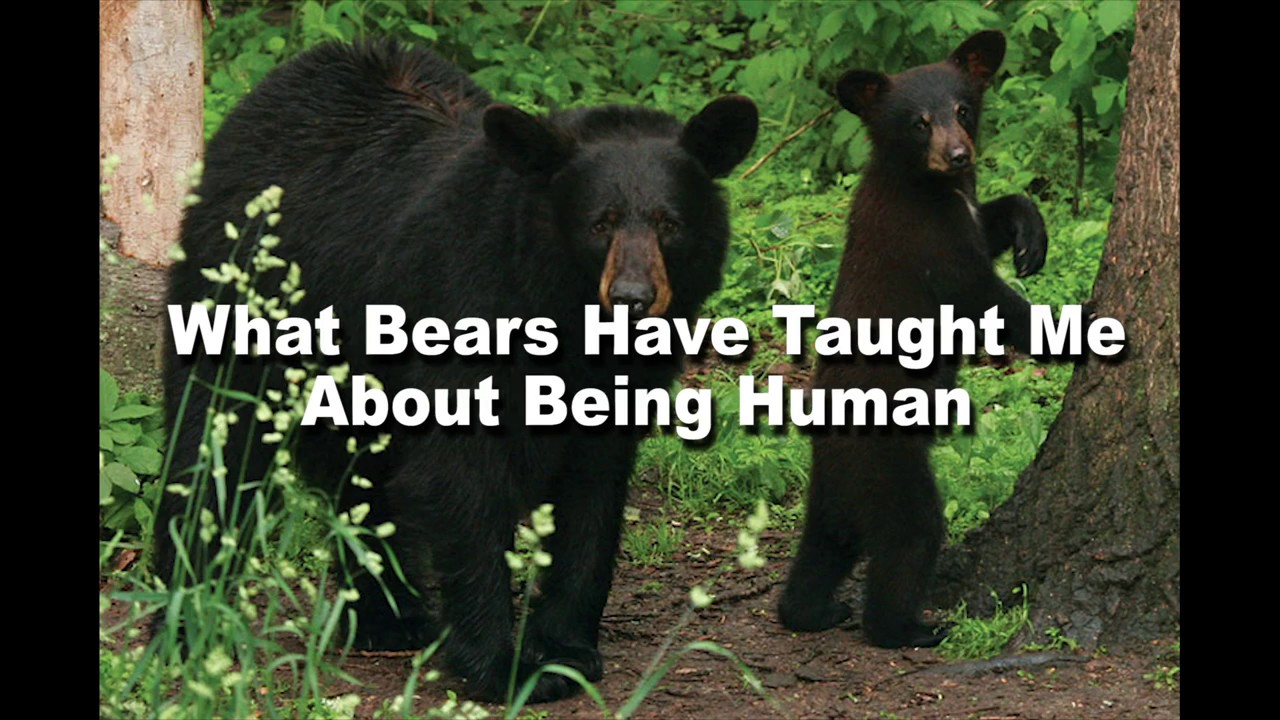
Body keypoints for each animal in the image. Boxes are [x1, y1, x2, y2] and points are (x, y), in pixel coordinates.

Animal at [154, 40, 758, 702]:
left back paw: (389, 617)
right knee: (212, 442)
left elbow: (593, 492)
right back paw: (188, 617)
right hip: (244, 298)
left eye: (670, 223)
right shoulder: (464, 302)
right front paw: (501, 665)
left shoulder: (622, 379)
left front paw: (565, 650)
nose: (632, 298)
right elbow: (461, 478)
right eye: (599, 222)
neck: (564, 312)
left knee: (361, 477)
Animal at [777, 30, 1048, 648]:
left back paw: (812, 610)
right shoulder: (925, 239)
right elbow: (984, 294)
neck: (932, 185)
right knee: (911, 535)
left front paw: (1030, 233)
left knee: (825, 544)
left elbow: (995, 222)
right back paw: (909, 626)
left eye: (963, 109)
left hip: (835, 489)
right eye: (919, 122)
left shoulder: (961, 213)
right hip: (888, 463)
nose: (959, 155)